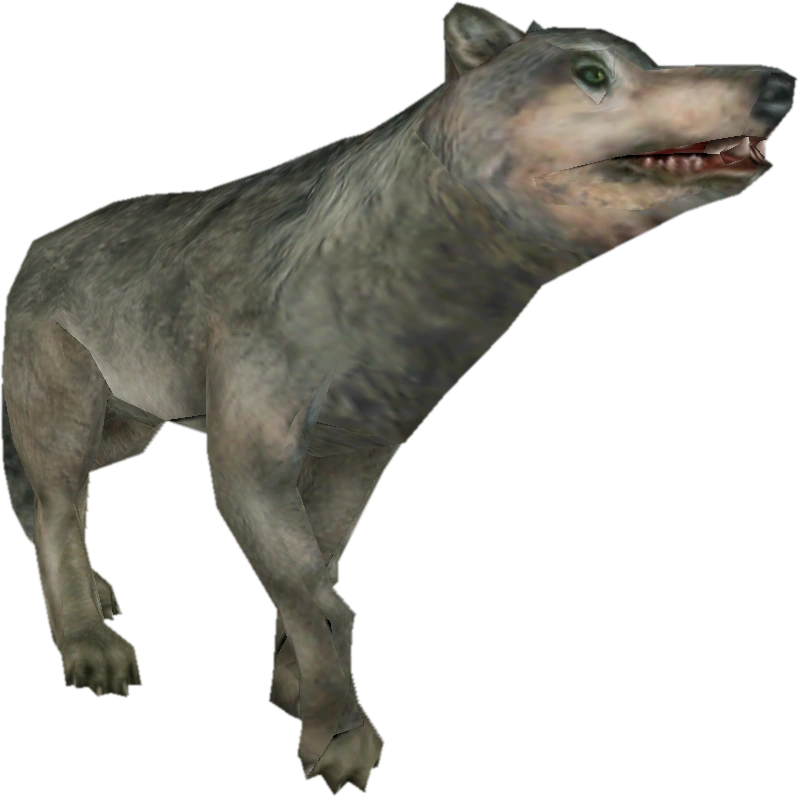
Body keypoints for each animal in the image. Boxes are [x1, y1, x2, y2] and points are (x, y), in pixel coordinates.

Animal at [1, 2, 793, 792]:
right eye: (592, 73)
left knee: (42, 498)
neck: (418, 295)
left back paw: (98, 596)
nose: (780, 85)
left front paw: (297, 690)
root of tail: (36, 247)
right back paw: (90, 643)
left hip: (131, 430)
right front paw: (338, 736)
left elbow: (321, 571)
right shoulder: (246, 463)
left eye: (645, 62)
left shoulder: (357, 454)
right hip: (75, 419)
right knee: (59, 505)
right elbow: (316, 594)